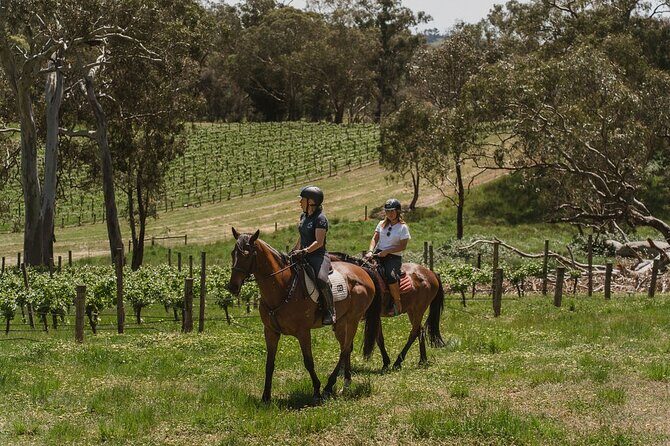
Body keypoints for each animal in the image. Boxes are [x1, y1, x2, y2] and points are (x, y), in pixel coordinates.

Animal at [227, 228, 381, 403]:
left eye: (246, 254)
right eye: (233, 253)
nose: (232, 286)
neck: (282, 286)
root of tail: (363, 271)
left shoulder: (303, 332)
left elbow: (308, 362)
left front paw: (316, 392)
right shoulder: (270, 332)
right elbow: (269, 364)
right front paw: (266, 397)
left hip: (352, 320)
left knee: (345, 349)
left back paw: (328, 387)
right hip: (341, 322)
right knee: (346, 348)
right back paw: (346, 384)